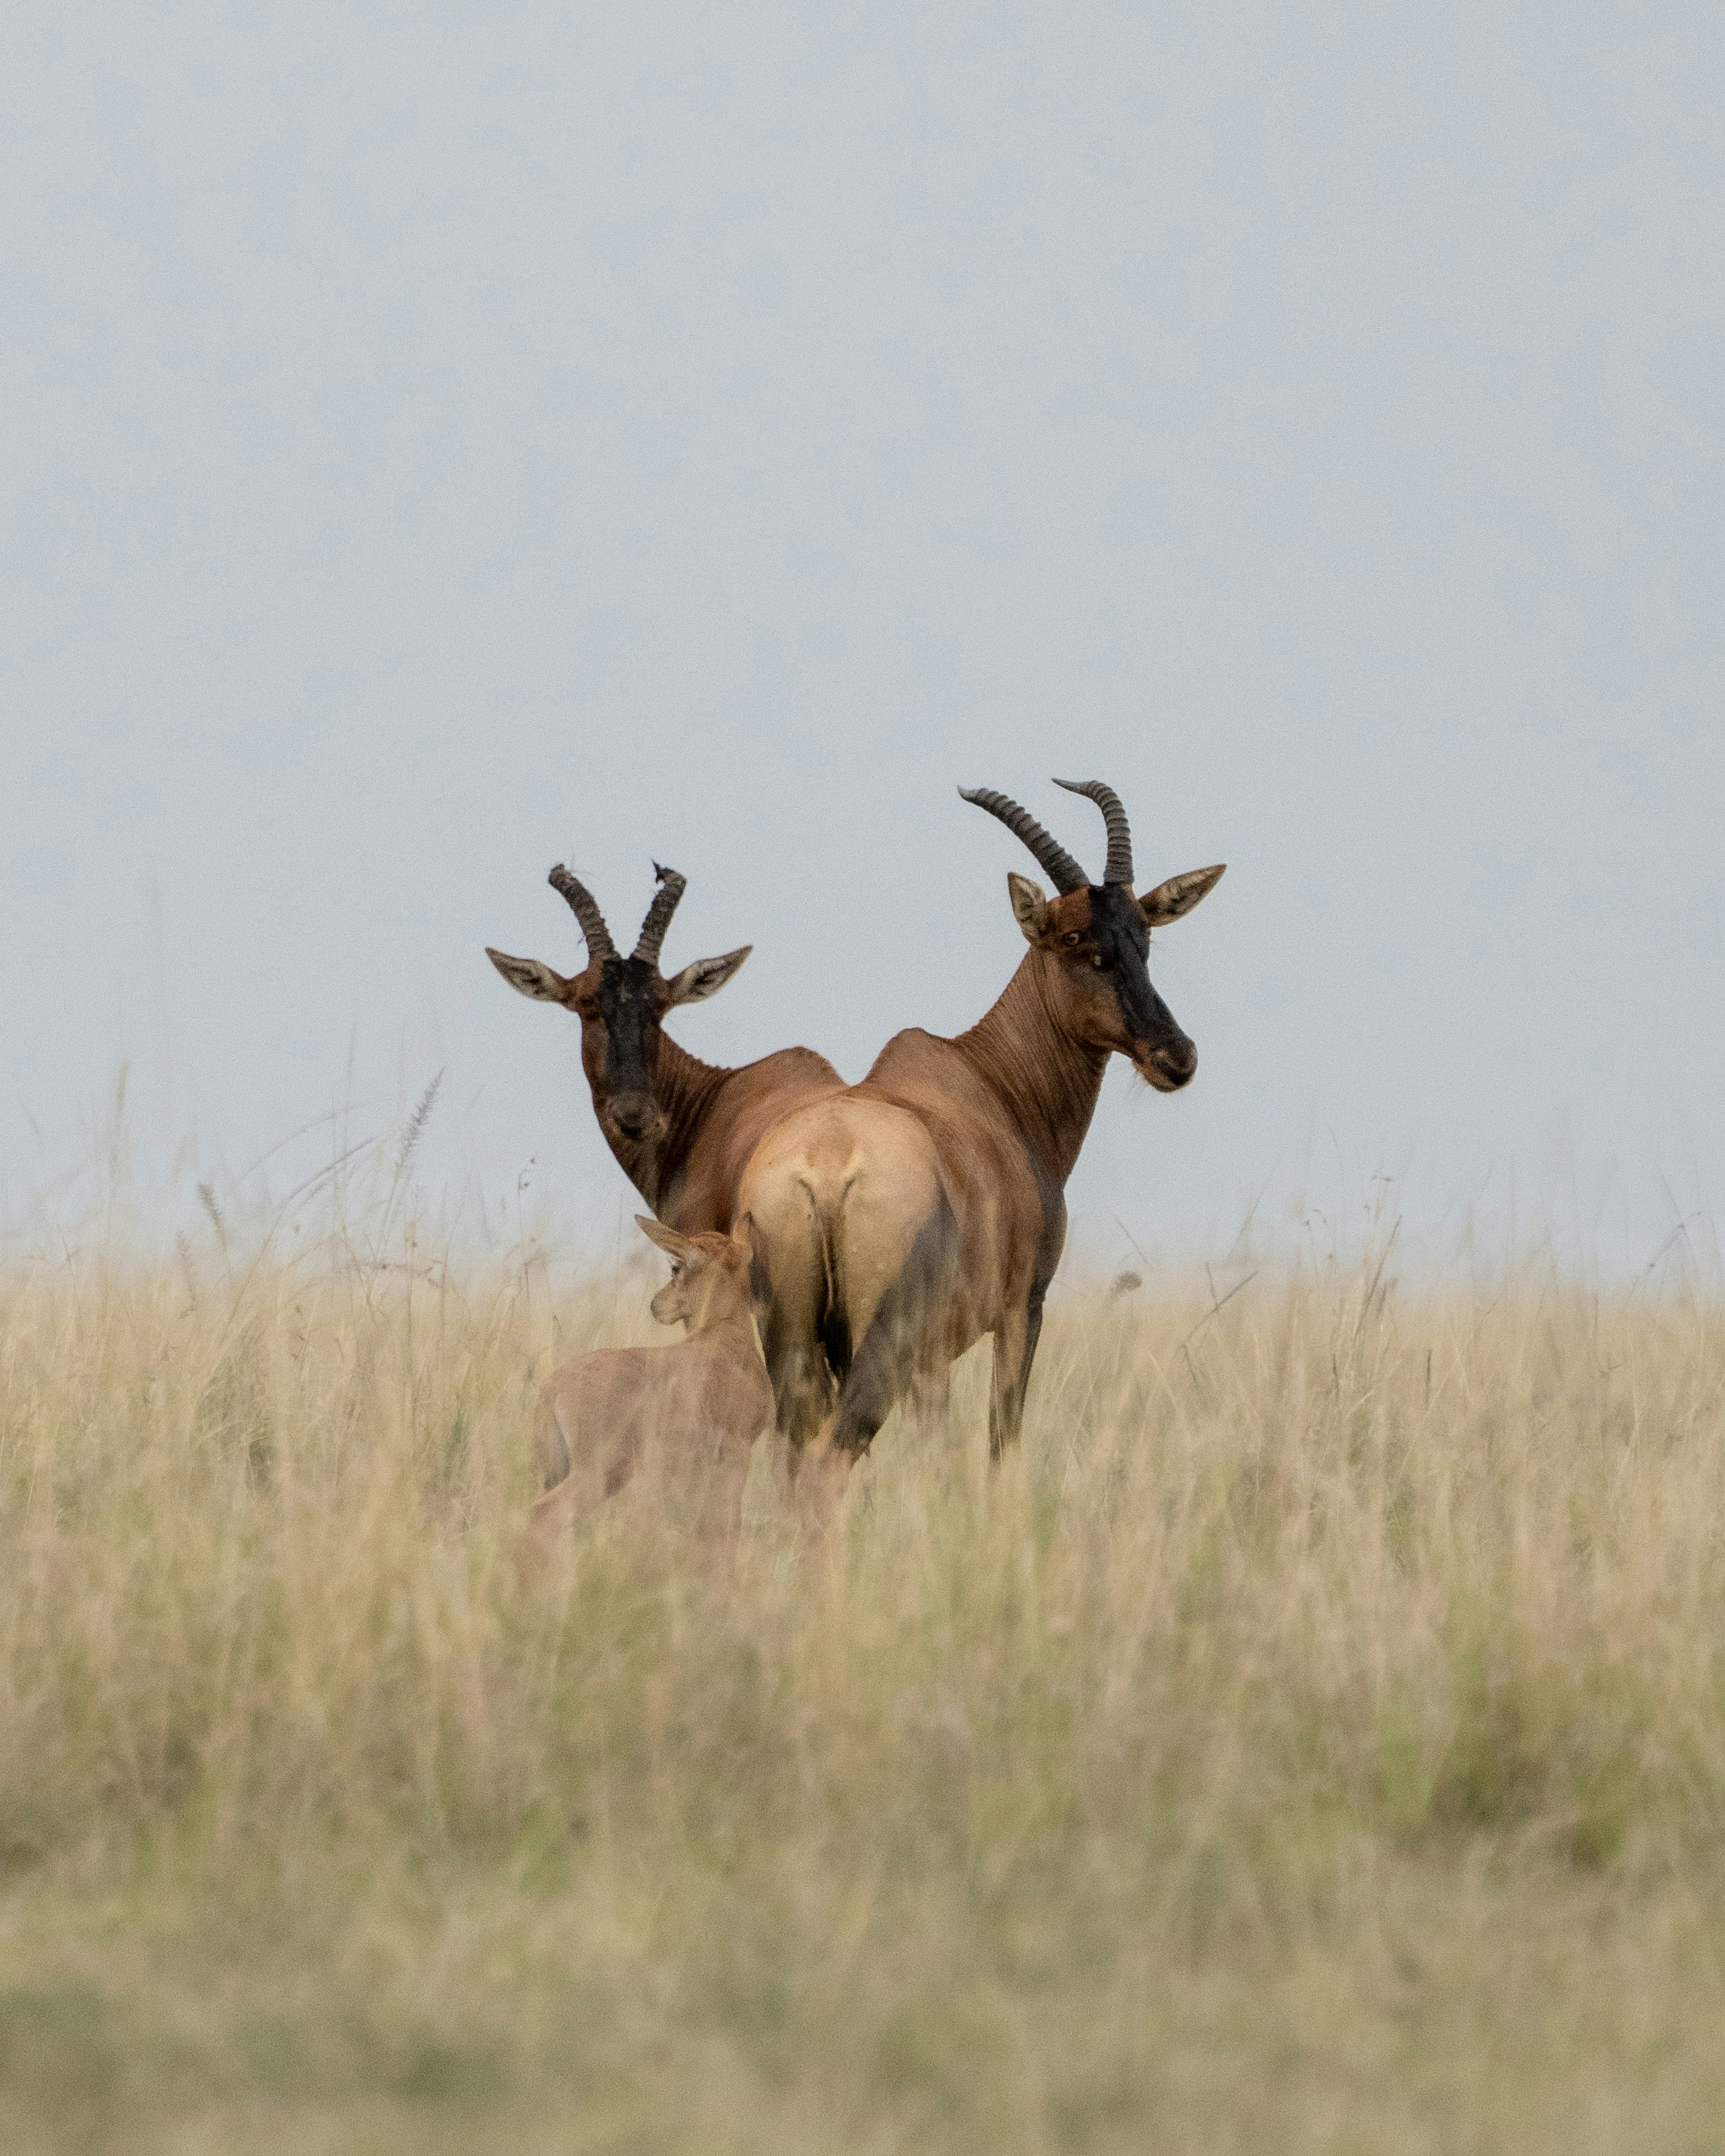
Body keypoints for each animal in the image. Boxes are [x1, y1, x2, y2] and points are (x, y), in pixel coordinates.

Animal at [526, 1215, 775, 1540]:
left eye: (675, 1267)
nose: (657, 1305)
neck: (726, 1331)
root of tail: (551, 1388)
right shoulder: (737, 1453)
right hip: (598, 1474)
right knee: (542, 1516)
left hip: (558, 1472)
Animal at [738, 779, 1224, 1467]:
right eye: (1073, 940)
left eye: (1143, 936)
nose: (1175, 1057)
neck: (989, 1079)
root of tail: (828, 1165)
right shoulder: (1023, 1308)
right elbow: (1002, 1434)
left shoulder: (934, 1359)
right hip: (882, 1341)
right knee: (837, 1446)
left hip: (795, 1344)